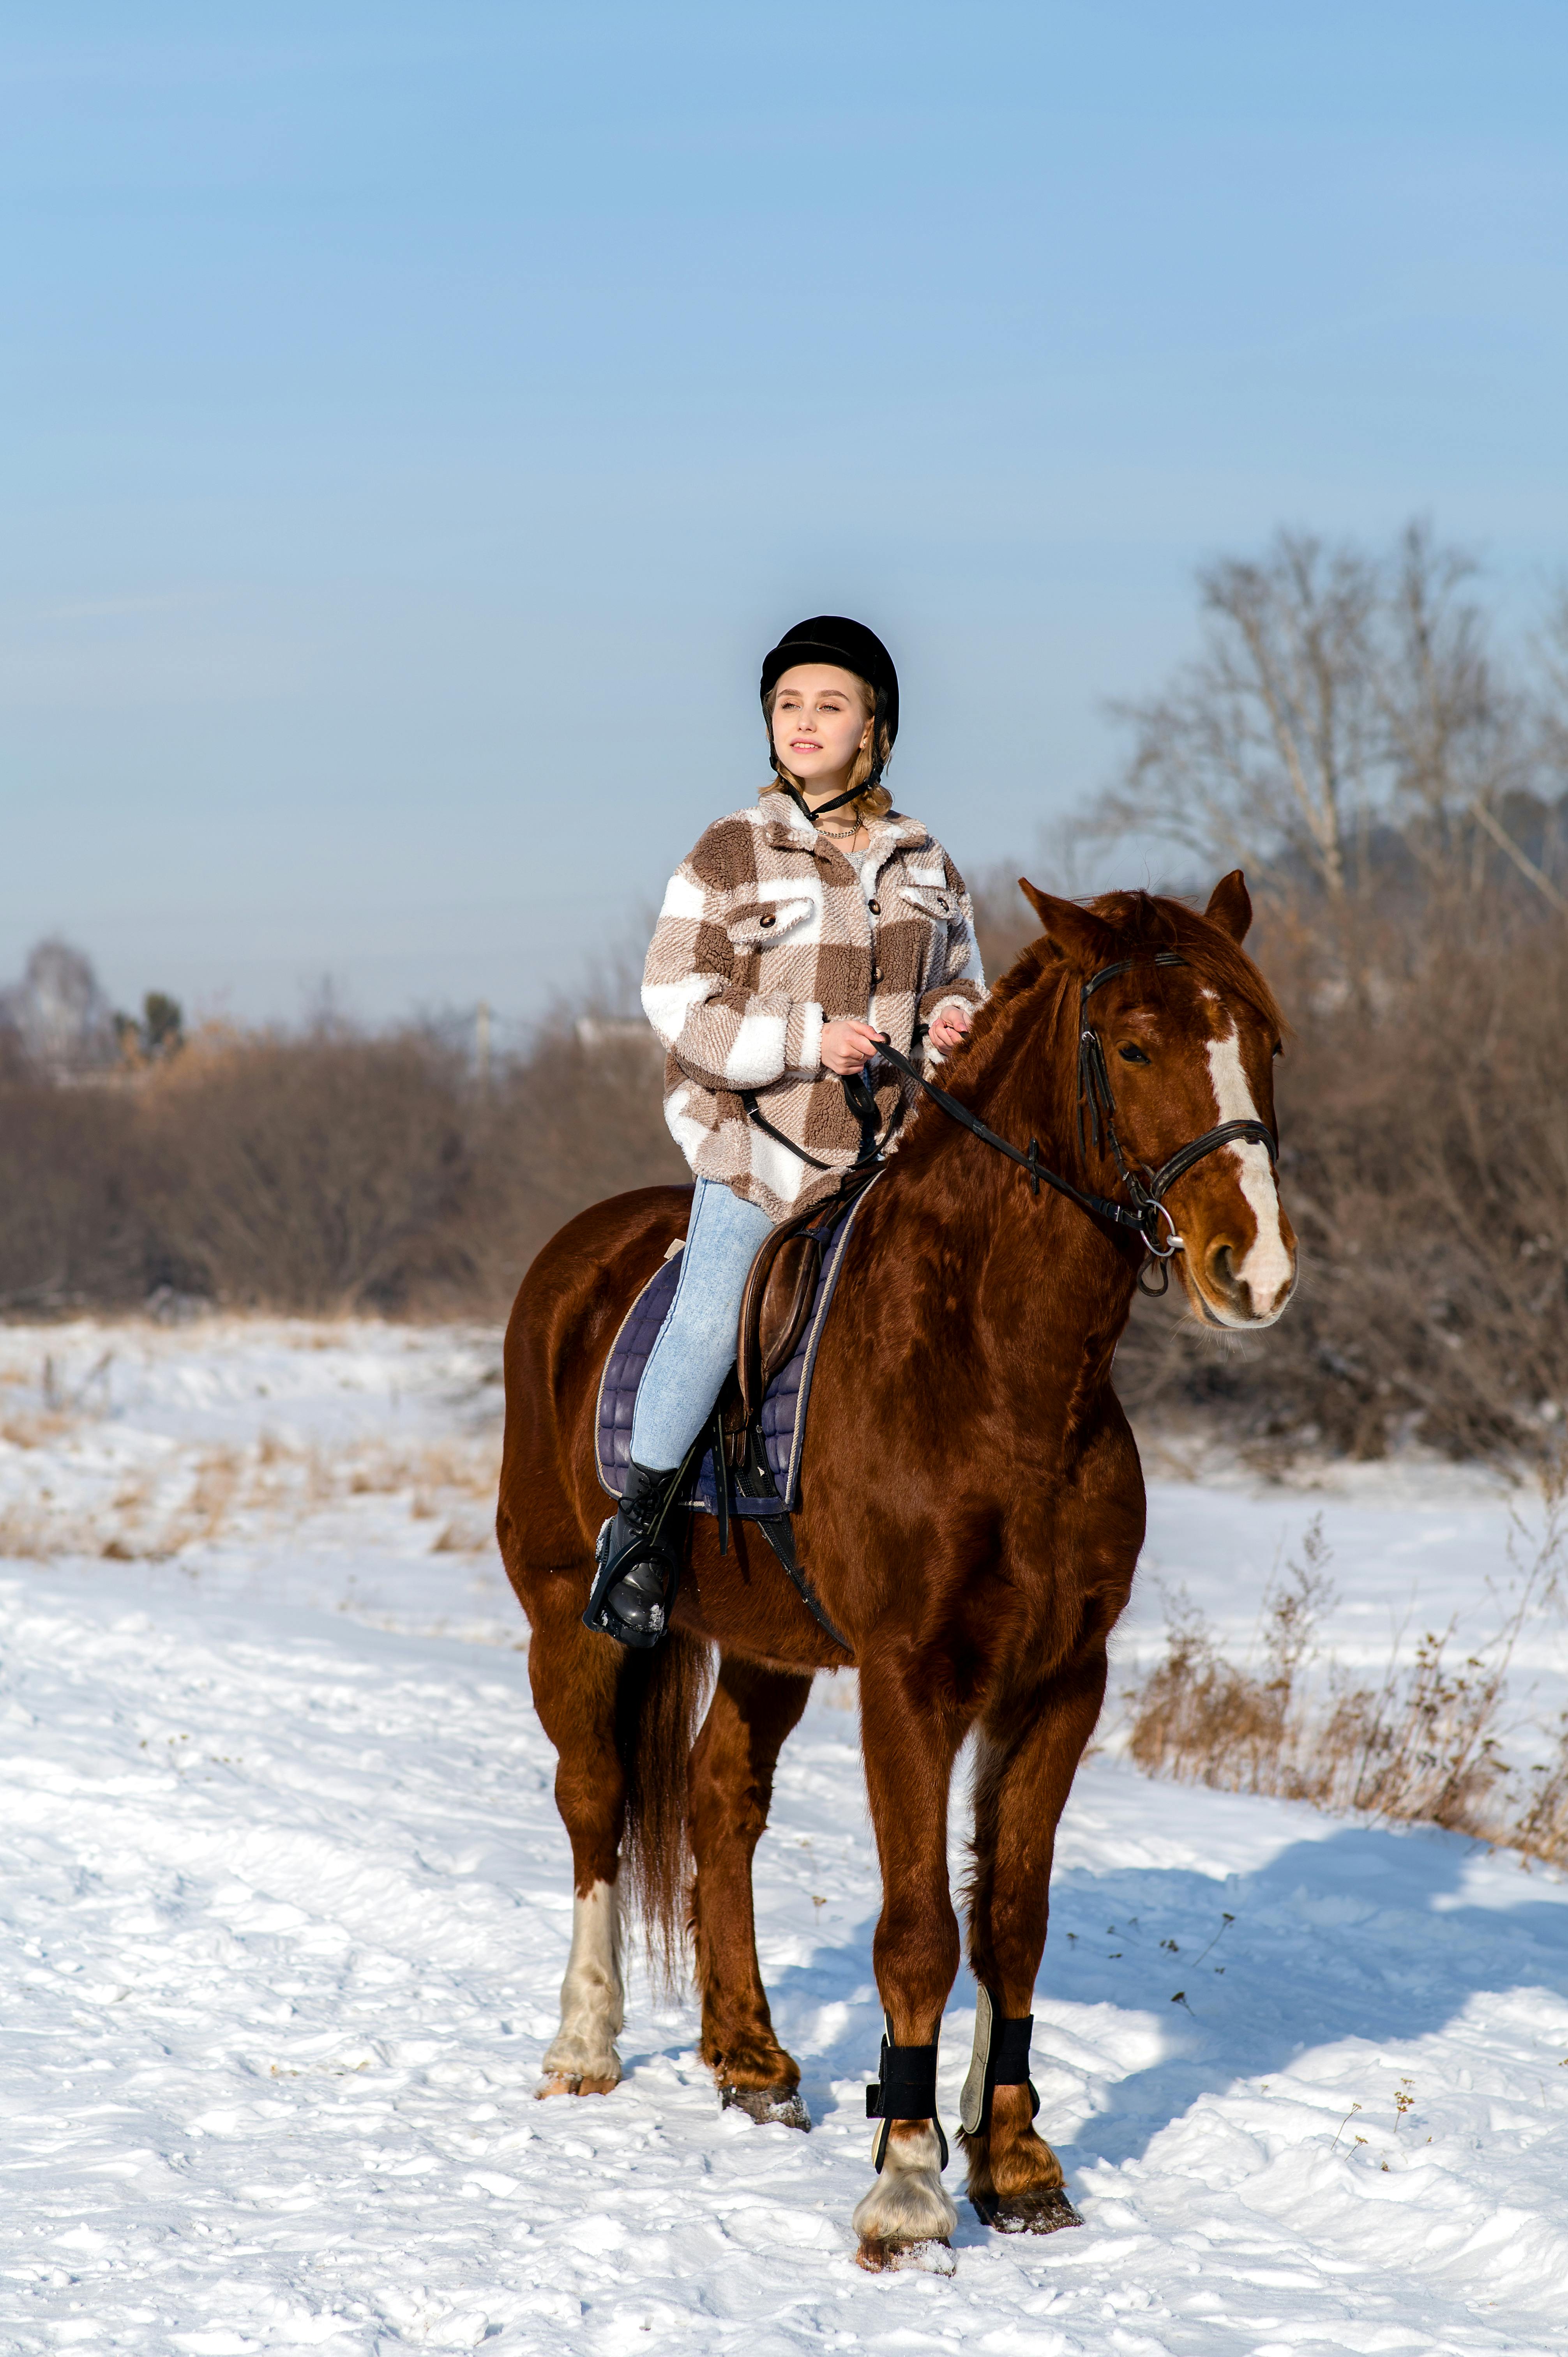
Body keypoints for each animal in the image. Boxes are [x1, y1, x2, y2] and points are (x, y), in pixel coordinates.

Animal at [496, 874, 1296, 2270]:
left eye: (1262, 1042)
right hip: (568, 1619)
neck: (1000, 1379)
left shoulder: (1058, 1685)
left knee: (720, 1802)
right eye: (1134, 1046)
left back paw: (751, 2056)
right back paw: (586, 2041)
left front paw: (1017, 2162)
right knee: (595, 1803)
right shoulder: (910, 1684)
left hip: (765, 1647)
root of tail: (578, 1254)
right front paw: (913, 2185)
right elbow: (920, 1929)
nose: (1253, 1271)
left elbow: (1013, 1921)